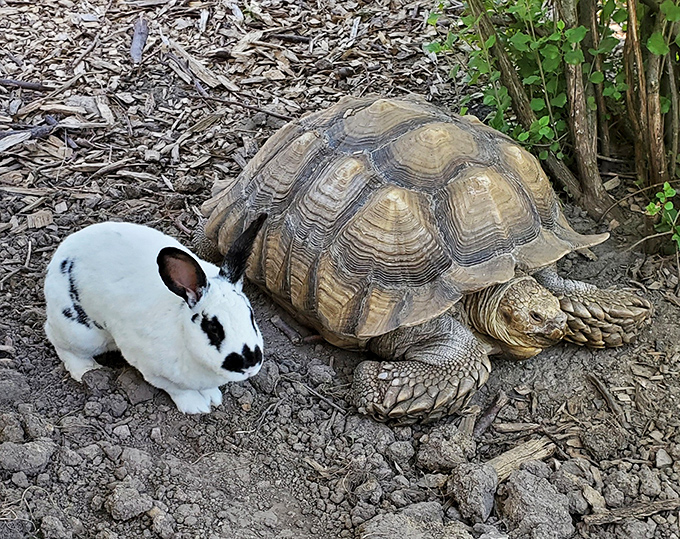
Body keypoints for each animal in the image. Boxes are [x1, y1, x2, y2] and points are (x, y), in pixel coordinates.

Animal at [44, 214, 267, 414]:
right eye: (213, 327)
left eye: (250, 316)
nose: (250, 364)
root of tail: (59, 258)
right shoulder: (151, 369)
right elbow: (178, 390)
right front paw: (197, 406)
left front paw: (213, 397)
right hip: (82, 335)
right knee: (61, 344)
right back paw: (86, 369)